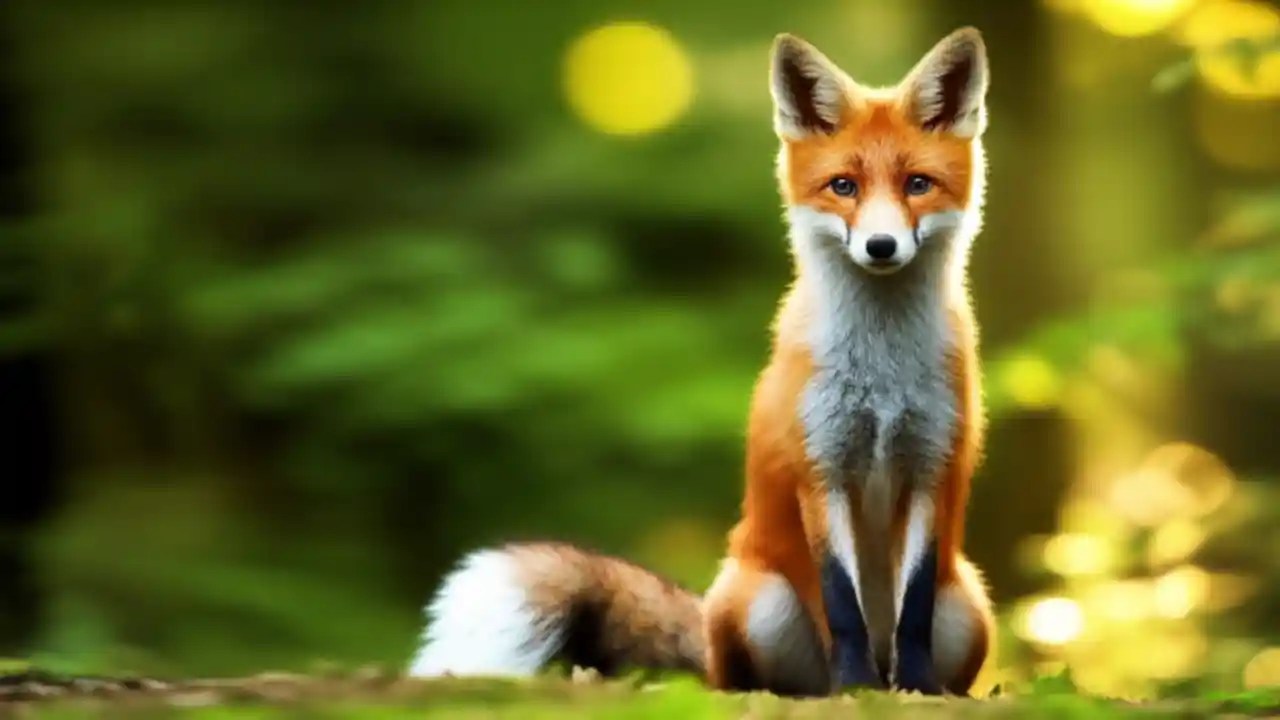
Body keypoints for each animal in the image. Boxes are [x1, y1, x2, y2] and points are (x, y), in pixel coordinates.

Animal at [409, 27, 995, 697]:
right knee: (750, 682)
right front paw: (857, 689)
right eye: (843, 186)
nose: (880, 246)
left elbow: (914, 607)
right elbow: (841, 602)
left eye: (917, 185)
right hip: (759, 603)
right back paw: (820, 687)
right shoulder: (819, 469)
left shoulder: (931, 465)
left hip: (969, 606)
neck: (882, 377)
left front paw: (916, 688)